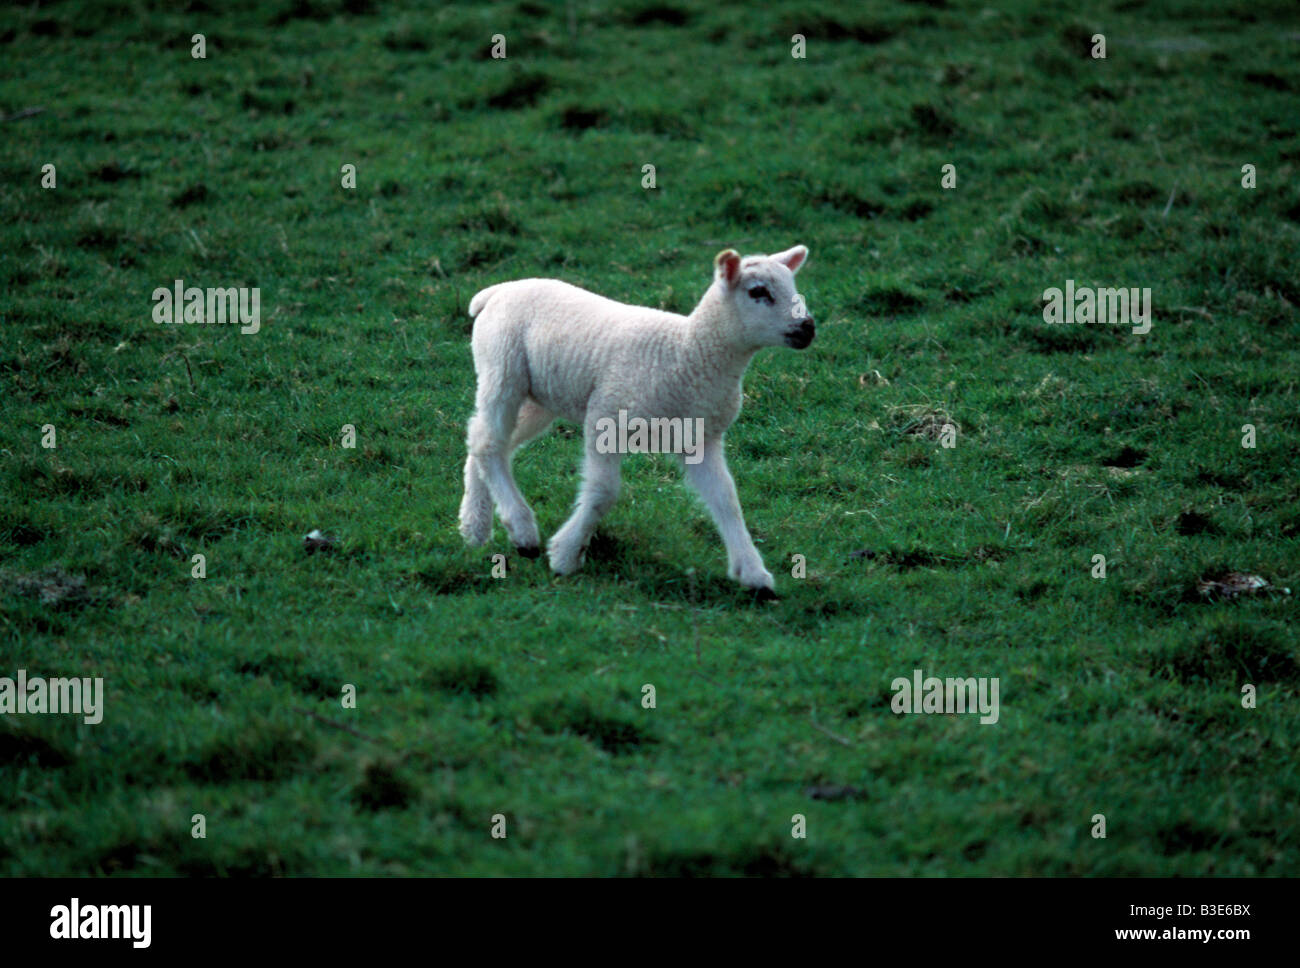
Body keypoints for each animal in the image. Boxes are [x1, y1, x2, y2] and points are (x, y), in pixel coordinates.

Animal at [458, 245, 814, 593]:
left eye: (793, 286)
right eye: (758, 292)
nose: (808, 327)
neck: (689, 352)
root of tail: (500, 290)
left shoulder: (701, 438)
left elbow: (726, 499)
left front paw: (752, 572)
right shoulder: (606, 416)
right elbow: (603, 492)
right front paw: (566, 554)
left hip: (540, 397)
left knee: (487, 442)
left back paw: (475, 526)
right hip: (502, 365)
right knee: (488, 442)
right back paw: (522, 531)